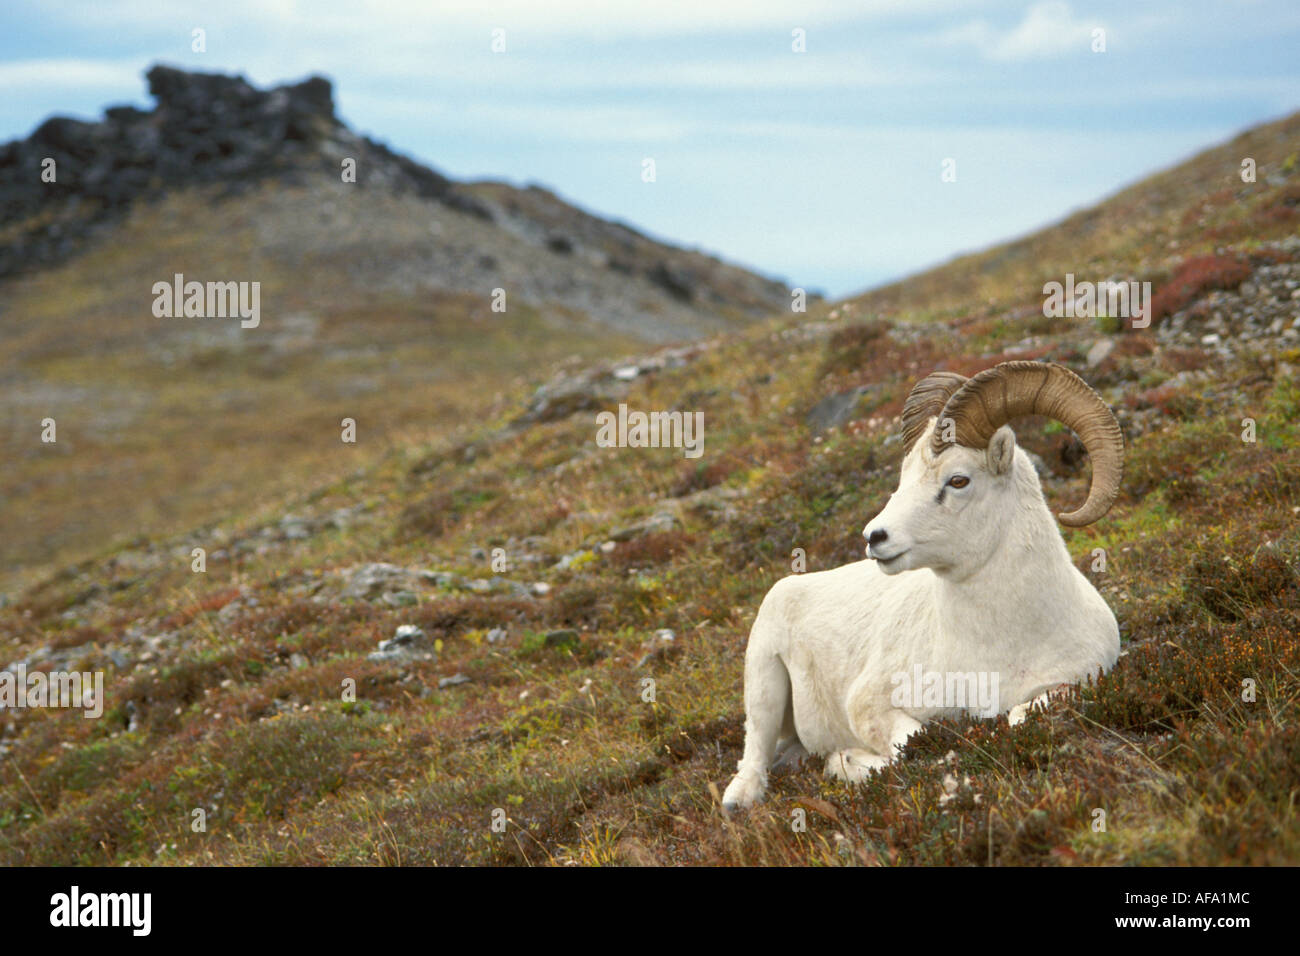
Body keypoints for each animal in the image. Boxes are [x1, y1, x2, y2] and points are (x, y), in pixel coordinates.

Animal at [721, 361, 1124, 811]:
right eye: (904, 476)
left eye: (958, 480)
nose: (874, 537)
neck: (998, 650)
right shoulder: (869, 705)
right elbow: (910, 741)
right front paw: (845, 763)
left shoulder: (1073, 681)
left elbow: (1019, 718)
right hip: (764, 681)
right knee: (754, 751)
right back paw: (739, 799)